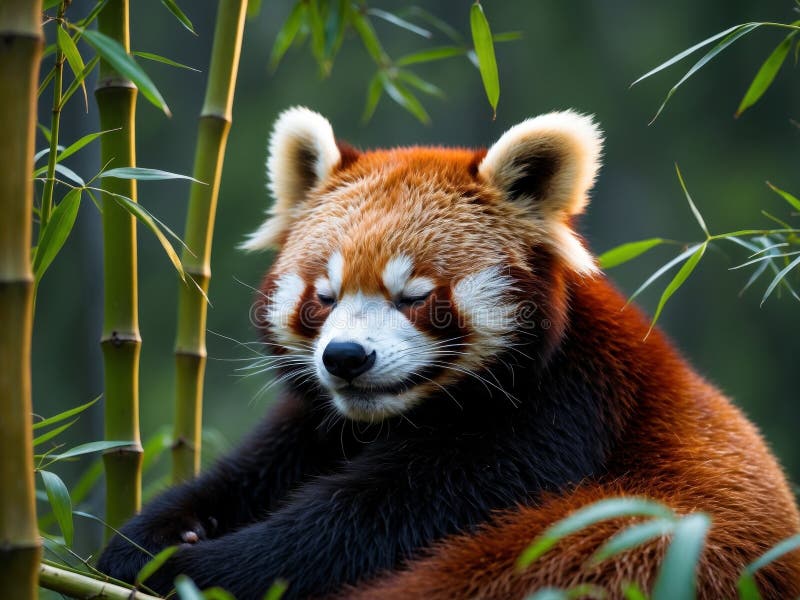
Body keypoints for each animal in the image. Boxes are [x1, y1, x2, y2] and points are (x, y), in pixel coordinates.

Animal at [97, 107, 800, 599]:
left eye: (414, 297)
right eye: (323, 297)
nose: (345, 358)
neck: (410, 412)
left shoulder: (560, 414)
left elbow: (372, 522)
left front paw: (200, 566)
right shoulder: (319, 425)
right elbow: (252, 472)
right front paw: (149, 536)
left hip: (648, 539)